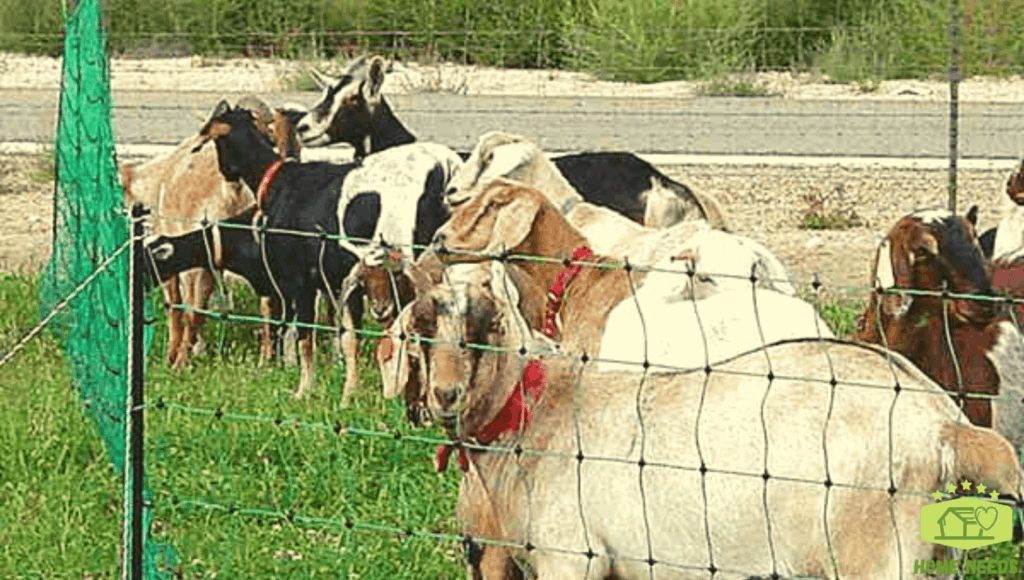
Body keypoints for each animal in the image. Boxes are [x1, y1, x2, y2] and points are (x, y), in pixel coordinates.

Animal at [392, 258, 1024, 580]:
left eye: (489, 324)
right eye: (421, 324)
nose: (445, 395)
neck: (541, 411)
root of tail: (941, 423)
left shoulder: (571, 556)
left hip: (865, 551)